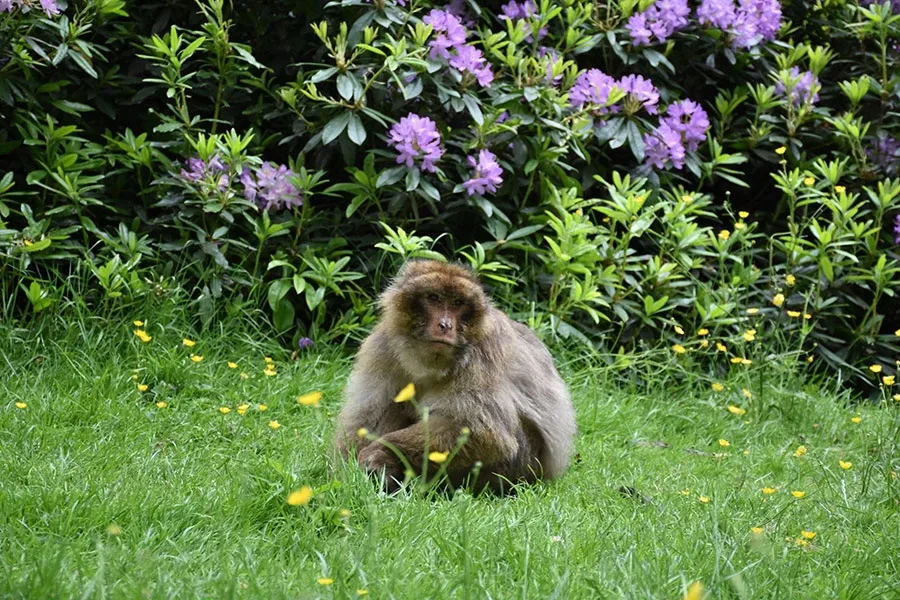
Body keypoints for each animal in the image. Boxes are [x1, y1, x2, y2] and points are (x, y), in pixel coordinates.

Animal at [334, 259, 576, 494]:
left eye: (458, 303)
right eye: (434, 298)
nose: (445, 325)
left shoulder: (483, 354)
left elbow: (486, 433)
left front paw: (378, 452)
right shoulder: (381, 346)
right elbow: (364, 418)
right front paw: (347, 476)